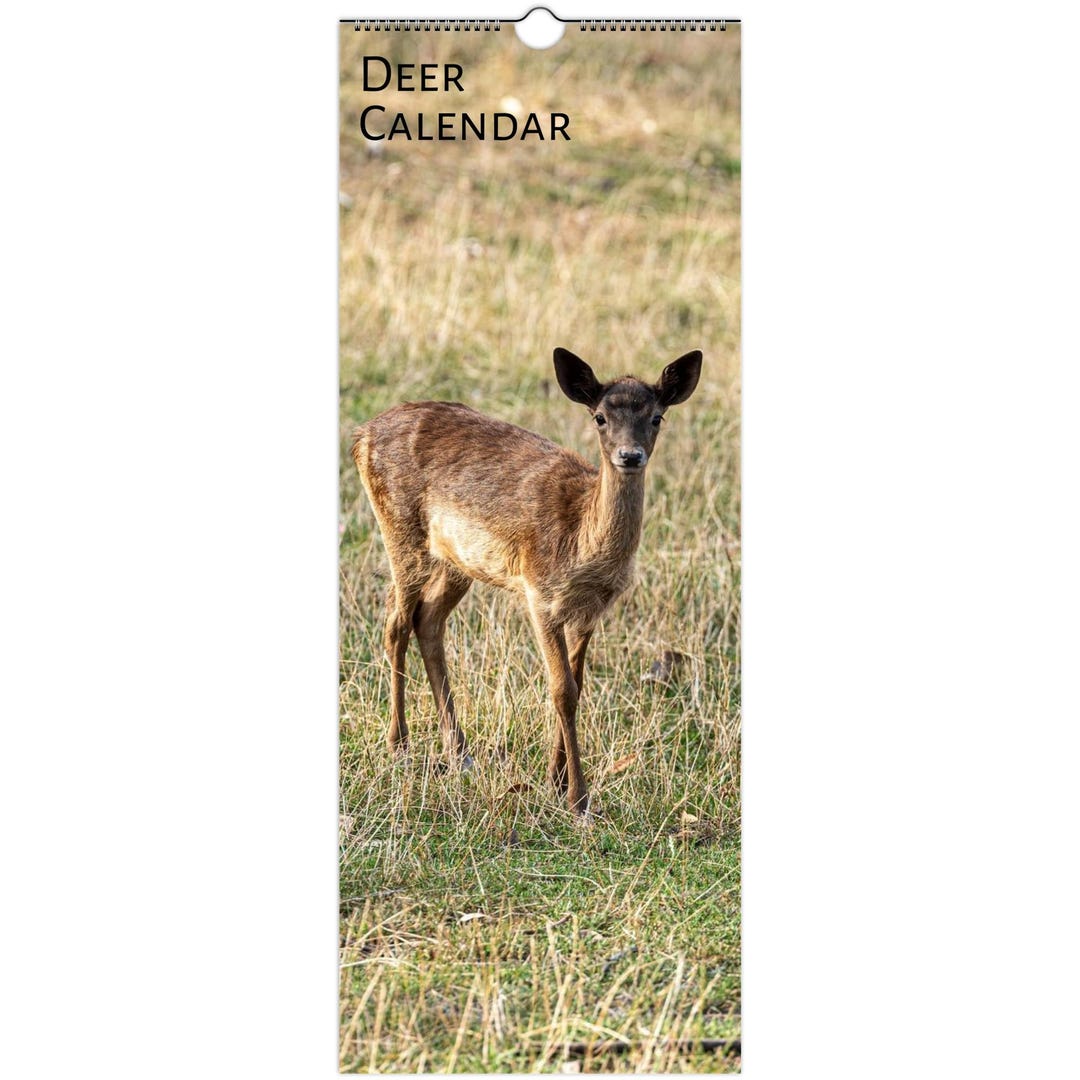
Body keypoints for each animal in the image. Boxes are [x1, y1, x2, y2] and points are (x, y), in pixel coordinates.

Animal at [351, 347, 702, 819]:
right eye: (600, 417)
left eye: (657, 417)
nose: (629, 456)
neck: (581, 542)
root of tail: (361, 436)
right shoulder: (540, 593)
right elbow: (561, 690)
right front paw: (578, 799)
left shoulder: (592, 609)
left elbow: (578, 685)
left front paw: (556, 780)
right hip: (401, 528)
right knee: (395, 624)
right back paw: (399, 746)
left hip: (458, 561)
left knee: (428, 621)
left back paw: (460, 752)